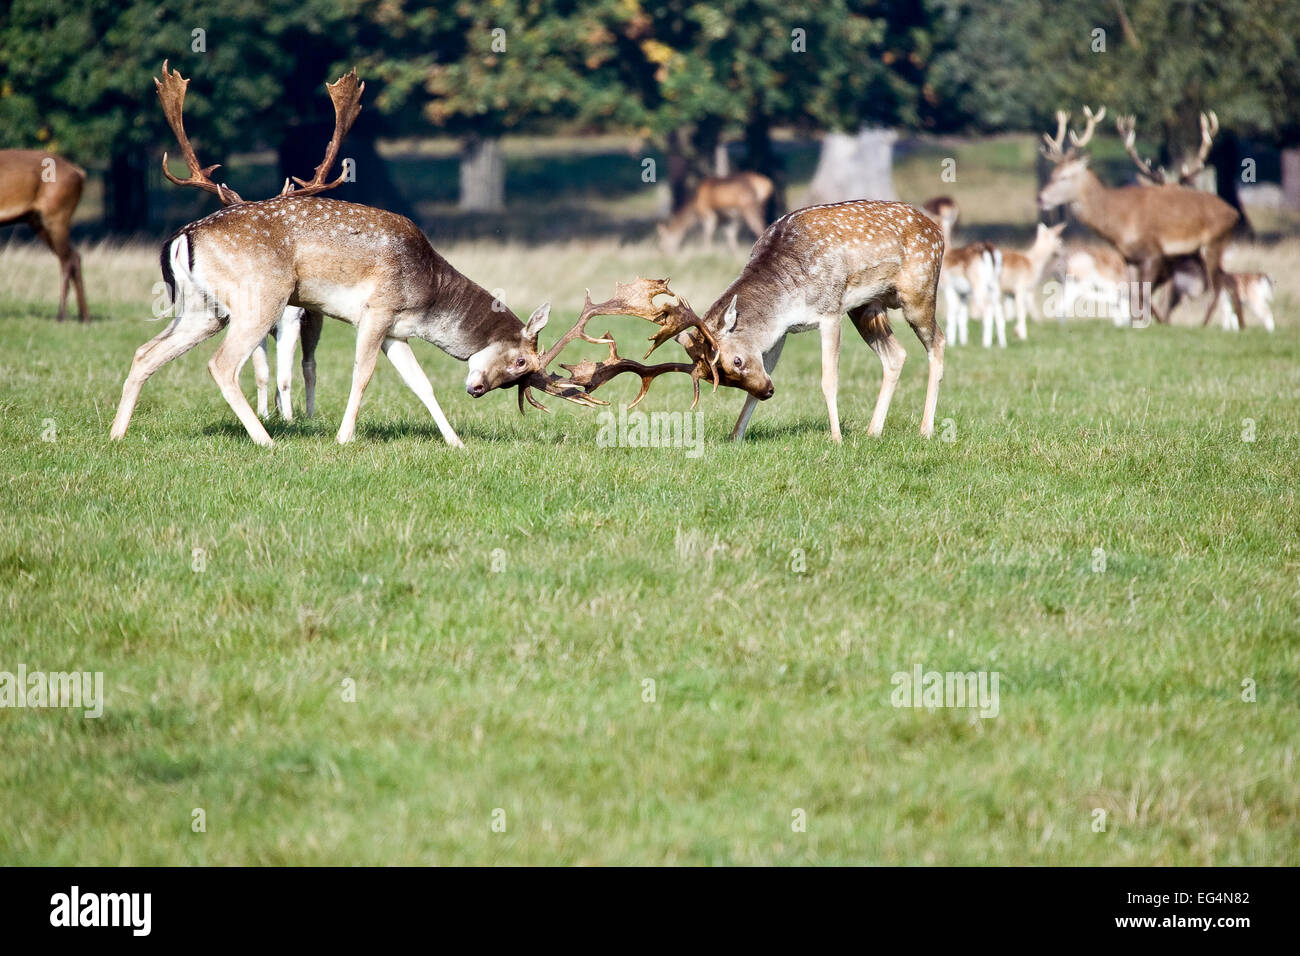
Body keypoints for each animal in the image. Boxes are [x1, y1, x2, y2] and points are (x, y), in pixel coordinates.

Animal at [0, 150, 89, 322]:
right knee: (74, 256)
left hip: (56, 214)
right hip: (37, 221)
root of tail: (79, 173)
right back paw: (85, 316)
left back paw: (62, 315)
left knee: (67, 259)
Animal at [110, 63, 552, 448]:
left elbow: (421, 383)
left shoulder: (396, 330)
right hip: (262, 296)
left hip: (203, 308)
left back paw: (116, 435)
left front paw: (456, 442)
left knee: (145, 353)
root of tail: (183, 236)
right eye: (521, 363)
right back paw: (267, 440)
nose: (477, 390)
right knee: (221, 364)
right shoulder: (377, 310)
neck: (426, 293)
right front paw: (344, 437)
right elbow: (363, 375)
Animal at [1038, 106, 1241, 328]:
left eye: (1065, 176)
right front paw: (1135, 324)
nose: (1040, 197)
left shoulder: (1153, 253)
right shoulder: (1130, 257)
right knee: (1228, 282)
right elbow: (1135, 294)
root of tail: (1234, 212)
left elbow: (1144, 294)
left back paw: (1205, 325)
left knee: (1217, 287)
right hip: (1197, 254)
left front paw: (1145, 324)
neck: (1118, 223)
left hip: (1213, 244)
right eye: (1052, 173)